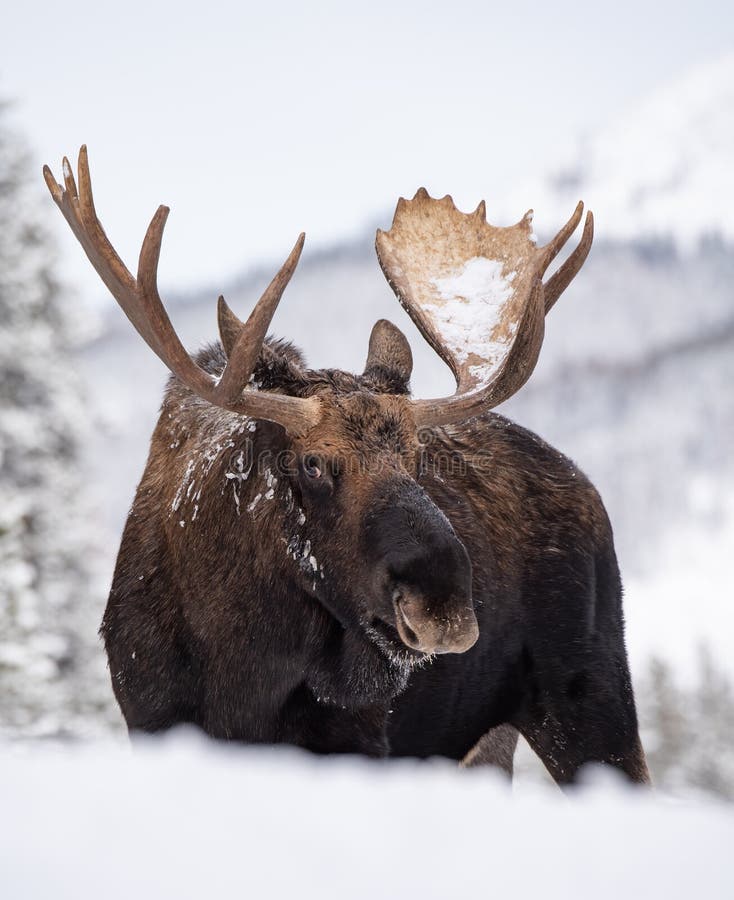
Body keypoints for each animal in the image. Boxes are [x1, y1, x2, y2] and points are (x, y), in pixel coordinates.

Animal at [43, 147, 650, 785]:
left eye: (418, 458)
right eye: (312, 463)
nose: (444, 604)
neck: (239, 659)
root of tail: (588, 488)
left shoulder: (357, 742)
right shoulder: (153, 723)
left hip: (592, 698)